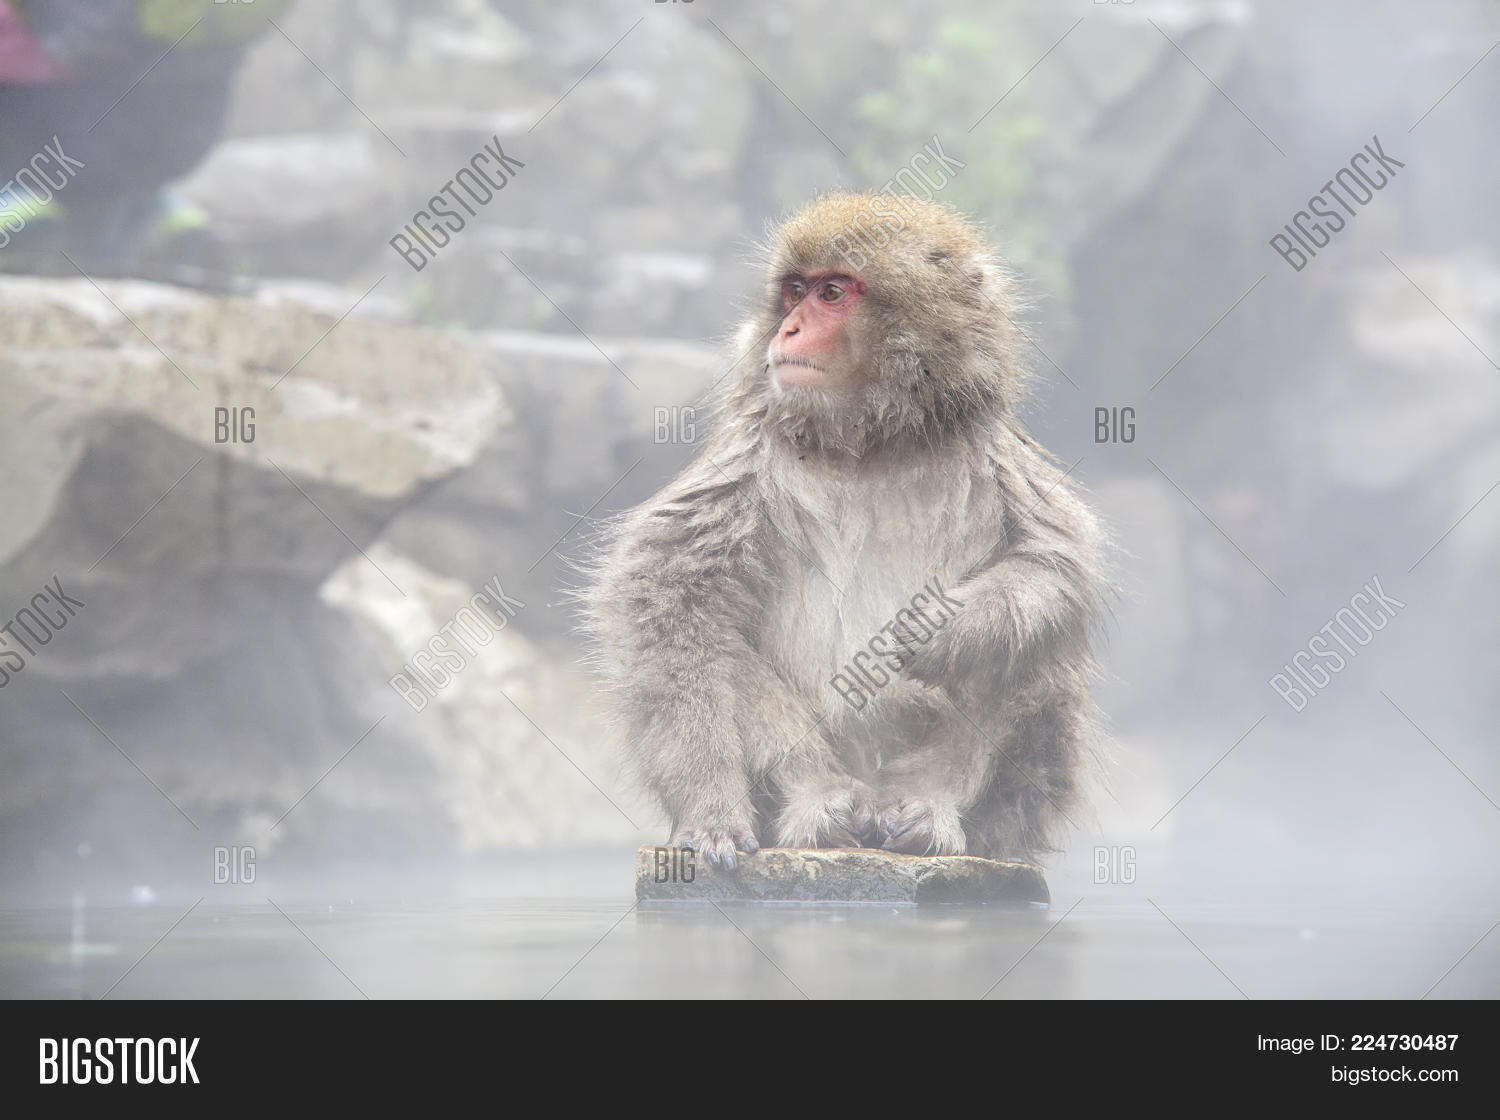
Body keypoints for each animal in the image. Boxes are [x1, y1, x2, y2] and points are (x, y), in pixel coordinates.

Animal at [584, 191, 1108, 869]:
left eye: (832, 293)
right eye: (794, 291)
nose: (788, 329)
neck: (870, 440)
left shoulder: (992, 451)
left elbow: (1051, 564)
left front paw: (941, 628)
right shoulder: (755, 449)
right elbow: (665, 589)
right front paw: (711, 811)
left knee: (1034, 645)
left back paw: (926, 808)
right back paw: (820, 799)